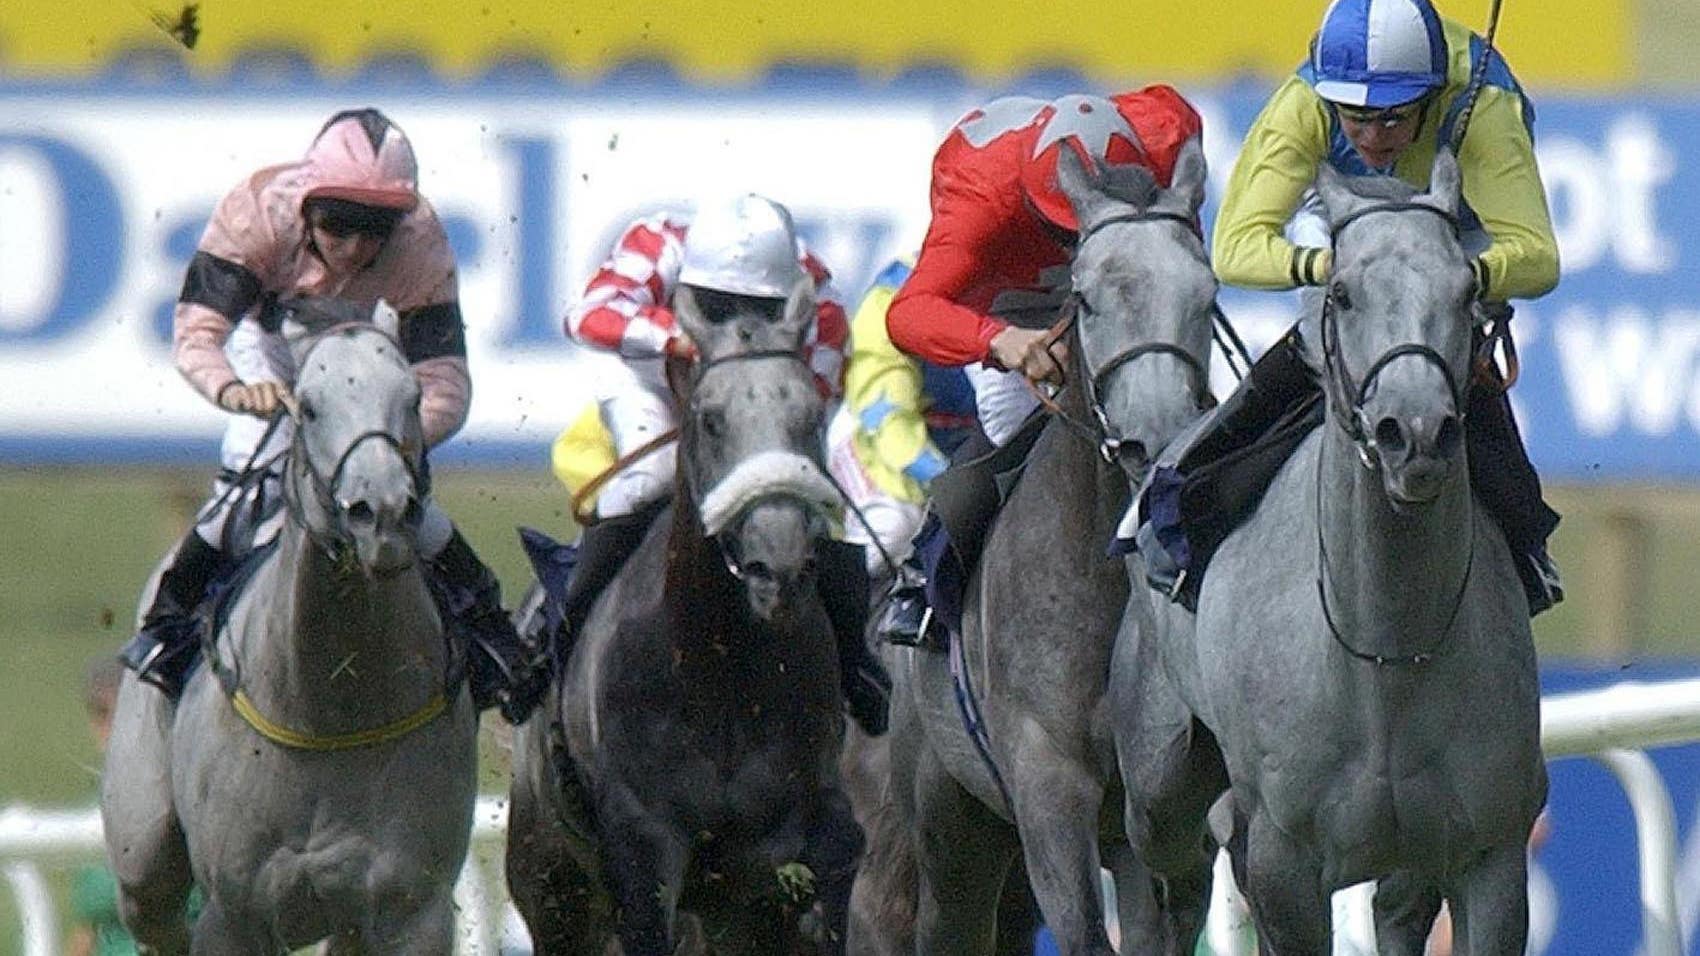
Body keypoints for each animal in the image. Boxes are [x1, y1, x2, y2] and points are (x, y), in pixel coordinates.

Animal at [101, 310, 480, 954]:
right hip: (141, 846)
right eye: (309, 407)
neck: (329, 704)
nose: (381, 512)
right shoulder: (235, 913)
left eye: (413, 396)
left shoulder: (411, 909)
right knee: (152, 901)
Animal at [505, 276, 862, 955]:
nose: (778, 564)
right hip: (551, 881)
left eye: (812, 415)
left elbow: (835, 865)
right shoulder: (641, 851)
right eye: (711, 418)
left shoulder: (797, 837)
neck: (718, 669)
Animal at [1115, 150, 1547, 954]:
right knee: (1164, 876)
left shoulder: (1491, 852)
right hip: (1161, 786)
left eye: (1468, 289)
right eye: (1342, 293)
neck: (1387, 653)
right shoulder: (1283, 859)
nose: (1415, 433)